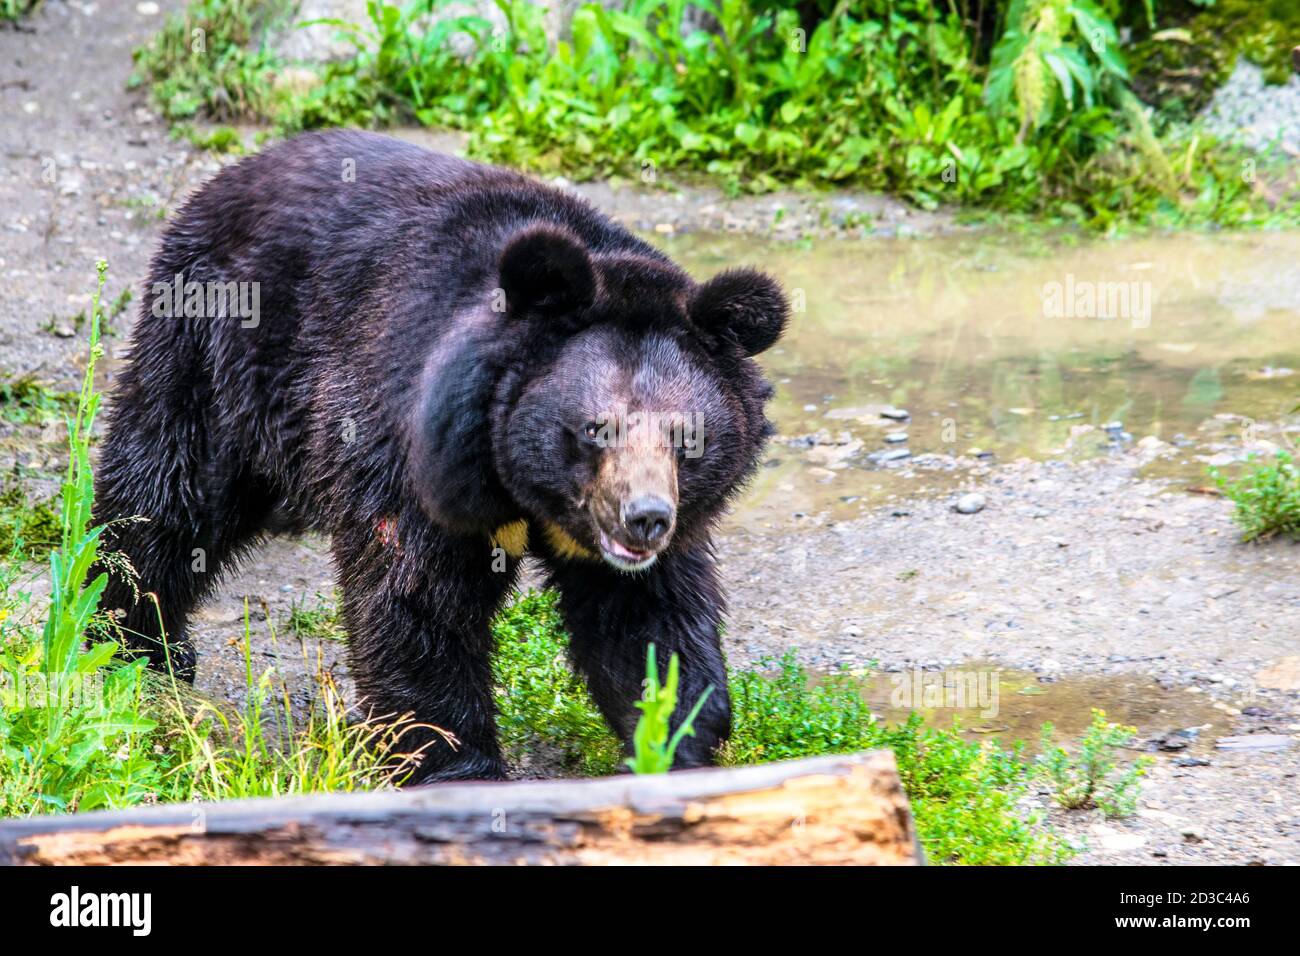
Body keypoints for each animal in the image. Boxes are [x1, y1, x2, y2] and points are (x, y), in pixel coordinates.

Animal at [93, 130, 789, 782]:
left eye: (686, 436)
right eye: (595, 429)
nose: (644, 519)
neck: (516, 487)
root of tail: (240, 169)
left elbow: (648, 622)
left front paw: (673, 744)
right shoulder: (405, 441)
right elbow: (415, 600)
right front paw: (455, 765)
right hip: (219, 350)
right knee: (168, 493)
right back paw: (134, 641)